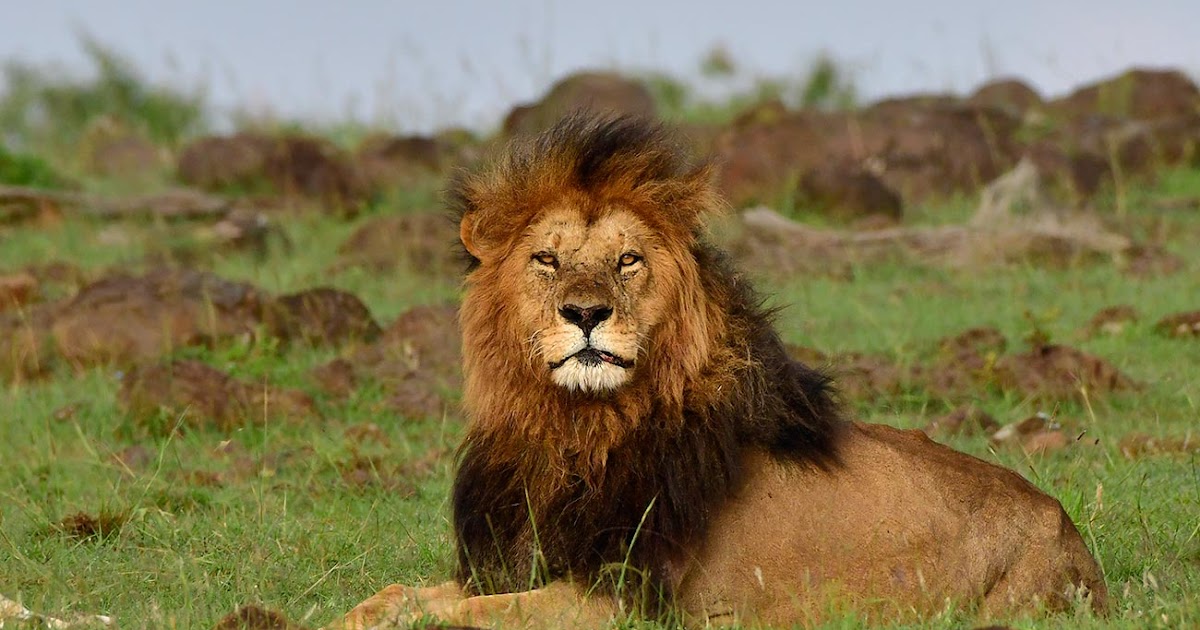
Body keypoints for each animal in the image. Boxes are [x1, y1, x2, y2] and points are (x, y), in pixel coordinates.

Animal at [322, 115, 1107, 630]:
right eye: (546, 259)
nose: (585, 312)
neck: (571, 431)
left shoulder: (622, 601)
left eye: (628, 260)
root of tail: (1074, 541)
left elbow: (468, 617)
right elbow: (391, 599)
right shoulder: (511, 565)